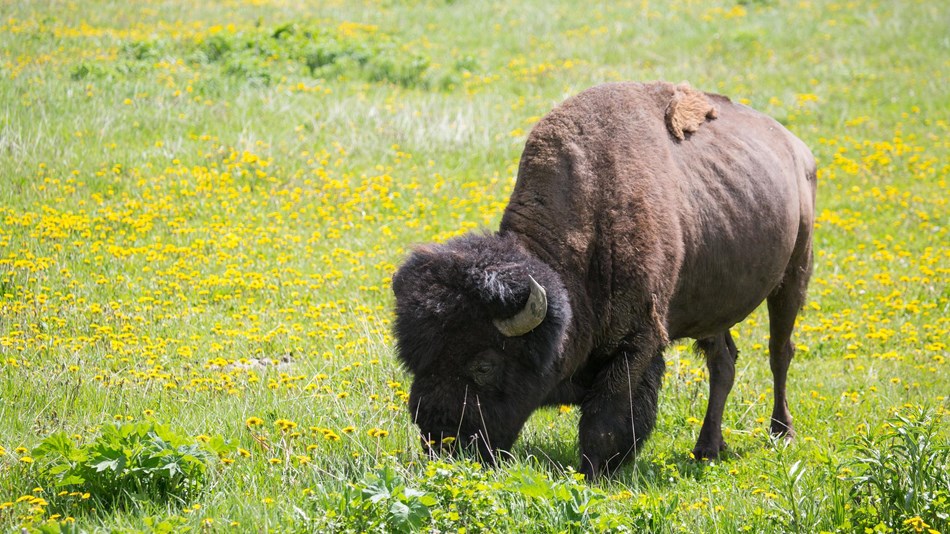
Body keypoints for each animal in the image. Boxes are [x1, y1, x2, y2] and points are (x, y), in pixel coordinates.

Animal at [392, 81, 816, 480]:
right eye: (413, 359)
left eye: (484, 366)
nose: (439, 438)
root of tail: (796, 148)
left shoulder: (637, 342)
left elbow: (606, 419)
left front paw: (596, 472)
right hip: (713, 306)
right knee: (723, 363)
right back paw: (707, 448)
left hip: (794, 275)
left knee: (779, 352)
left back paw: (781, 432)